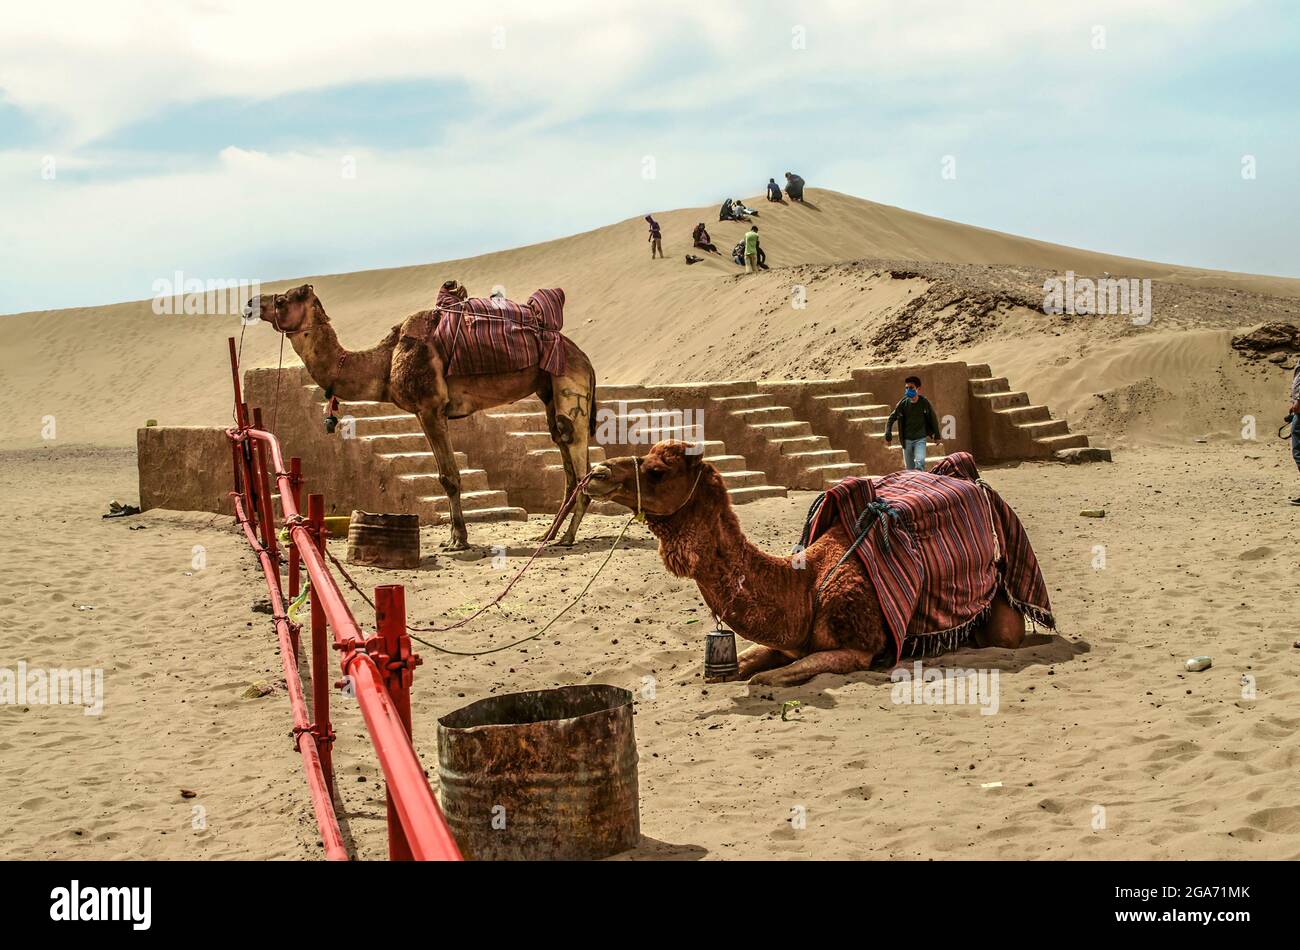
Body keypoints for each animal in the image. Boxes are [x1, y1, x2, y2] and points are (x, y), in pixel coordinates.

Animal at [246, 282, 597, 550]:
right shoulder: (422, 412)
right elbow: (445, 476)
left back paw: (567, 537)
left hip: (570, 389)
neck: (385, 363)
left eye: (281, 299)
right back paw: (547, 535)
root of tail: (584, 357)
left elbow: (450, 477)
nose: (250, 303)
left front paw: (457, 541)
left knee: (579, 460)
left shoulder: (430, 407)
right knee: (565, 461)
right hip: (548, 391)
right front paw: (456, 538)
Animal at [582, 440, 1028, 687]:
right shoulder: (788, 641)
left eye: (657, 470)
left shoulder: (860, 649)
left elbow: (768, 678)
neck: (806, 586)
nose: (596, 473)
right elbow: (737, 666)